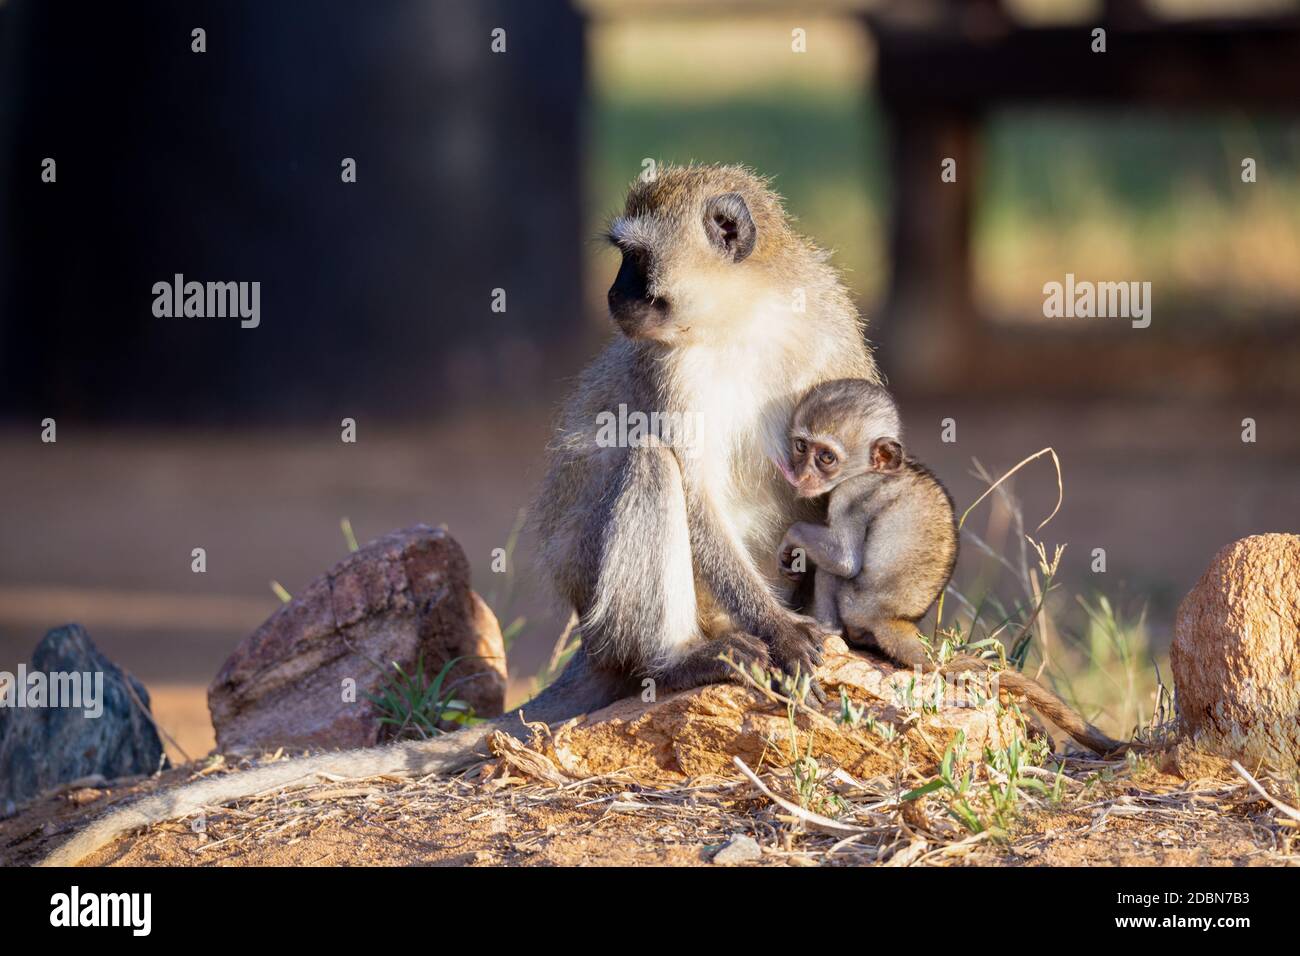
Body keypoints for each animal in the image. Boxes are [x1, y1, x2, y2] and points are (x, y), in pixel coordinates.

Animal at [39, 164, 879, 865]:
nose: (612, 296)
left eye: (637, 260)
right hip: (632, 606)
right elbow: (690, 482)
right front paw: (780, 631)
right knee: (650, 464)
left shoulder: (825, 327)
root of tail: (597, 635)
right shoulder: (670, 367)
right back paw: (677, 661)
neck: (745, 318)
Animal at [774, 379, 1132, 756]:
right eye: (801, 447)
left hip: (854, 604)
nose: (801, 474)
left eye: (826, 457)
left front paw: (792, 540)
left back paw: (828, 628)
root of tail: (893, 620)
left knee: (833, 573)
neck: (877, 471)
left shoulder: (850, 494)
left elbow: (844, 558)